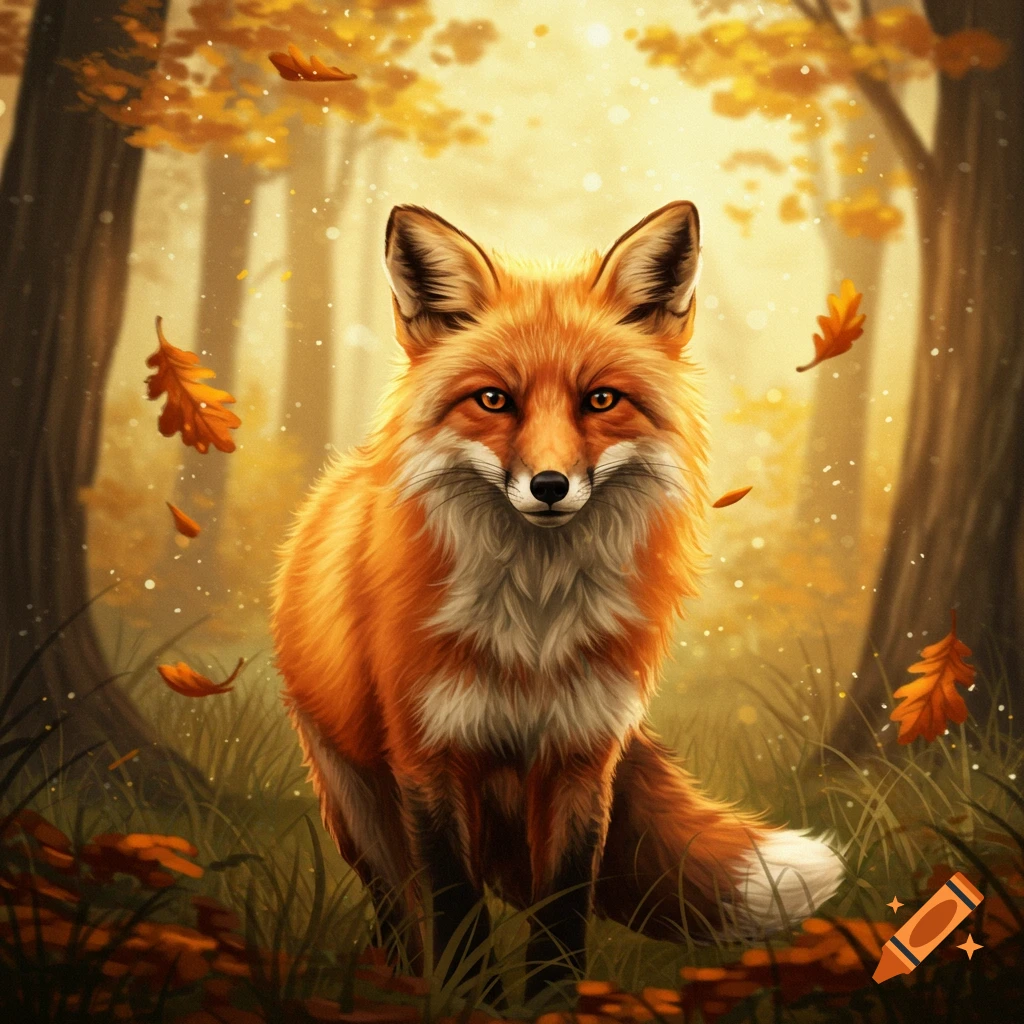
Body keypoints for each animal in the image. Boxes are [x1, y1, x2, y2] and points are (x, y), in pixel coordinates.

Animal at [271, 200, 843, 996]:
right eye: (493, 399)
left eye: (600, 399)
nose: (549, 486)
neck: (532, 630)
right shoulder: (428, 754)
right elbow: (457, 905)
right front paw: (472, 1001)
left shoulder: (582, 752)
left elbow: (565, 907)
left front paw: (551, 1001)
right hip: (356, 801)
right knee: (396, 901)